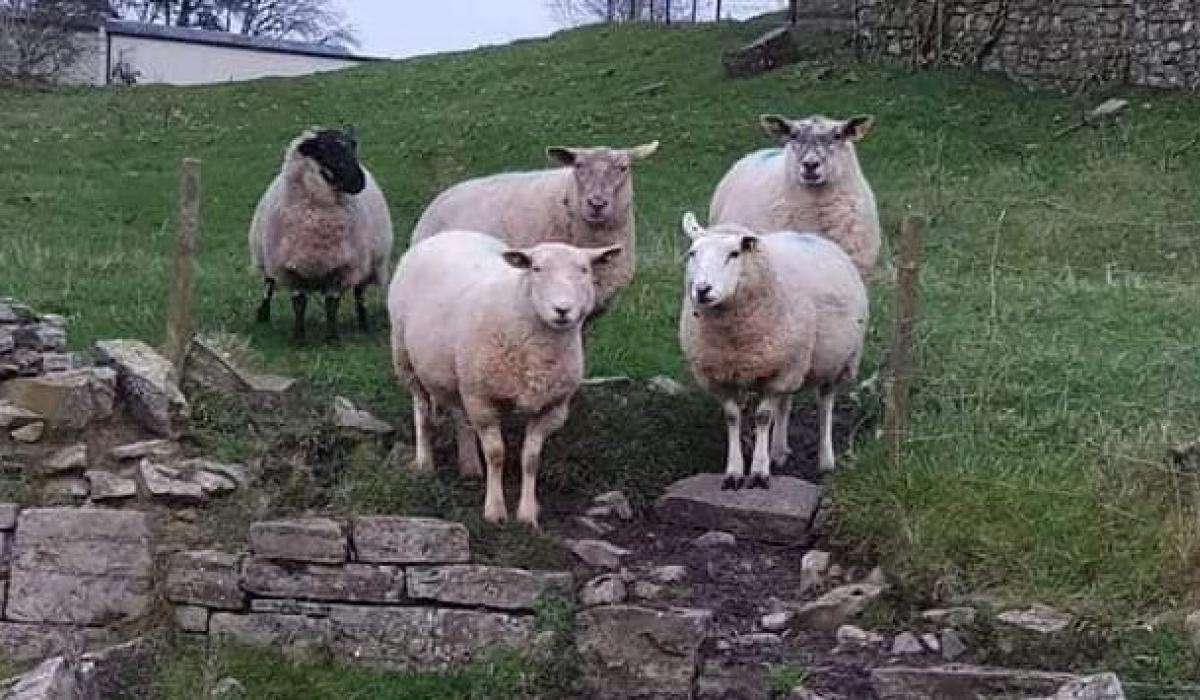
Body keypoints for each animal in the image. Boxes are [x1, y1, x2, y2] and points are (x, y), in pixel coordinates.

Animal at [249, 126, 394, 343]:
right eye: (324, 149)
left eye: (353, 146)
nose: (359, 181)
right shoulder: (292, 268)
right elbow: (299, 304)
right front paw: (299, 338)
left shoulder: (342, 267)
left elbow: (331, 304)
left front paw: (333, 338)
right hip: (266, 256)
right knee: (268, 285)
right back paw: (263, 315)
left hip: (367, 263)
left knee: (359, 293)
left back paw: (363, 322)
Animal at [388, 230, 622, 527]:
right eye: (536, 268)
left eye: (584, 270)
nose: (562, 310)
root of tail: (450, 233)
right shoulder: (483, 398)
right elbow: (496, 454)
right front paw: (495, 511)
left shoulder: (552, 407)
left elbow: (531, 459)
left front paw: (527, 515)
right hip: (405, 356)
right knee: (421, 408)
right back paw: (424, 462)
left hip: (460, 373)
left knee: (460, 414)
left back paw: (470, 466)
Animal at [678, 212, 868, 489]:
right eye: (693, 253)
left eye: (735, 254)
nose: (702, 290)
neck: (734, 342)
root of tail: (809, 235)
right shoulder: (720, 375)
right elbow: (732, 416)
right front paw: (734, 472)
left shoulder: (777, 372)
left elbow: (763, 417)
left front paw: (759, 472)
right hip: (794, 360)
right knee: (785, 404)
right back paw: (778, 451)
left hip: (834, 362)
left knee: (825, 406)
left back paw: (825, 460)